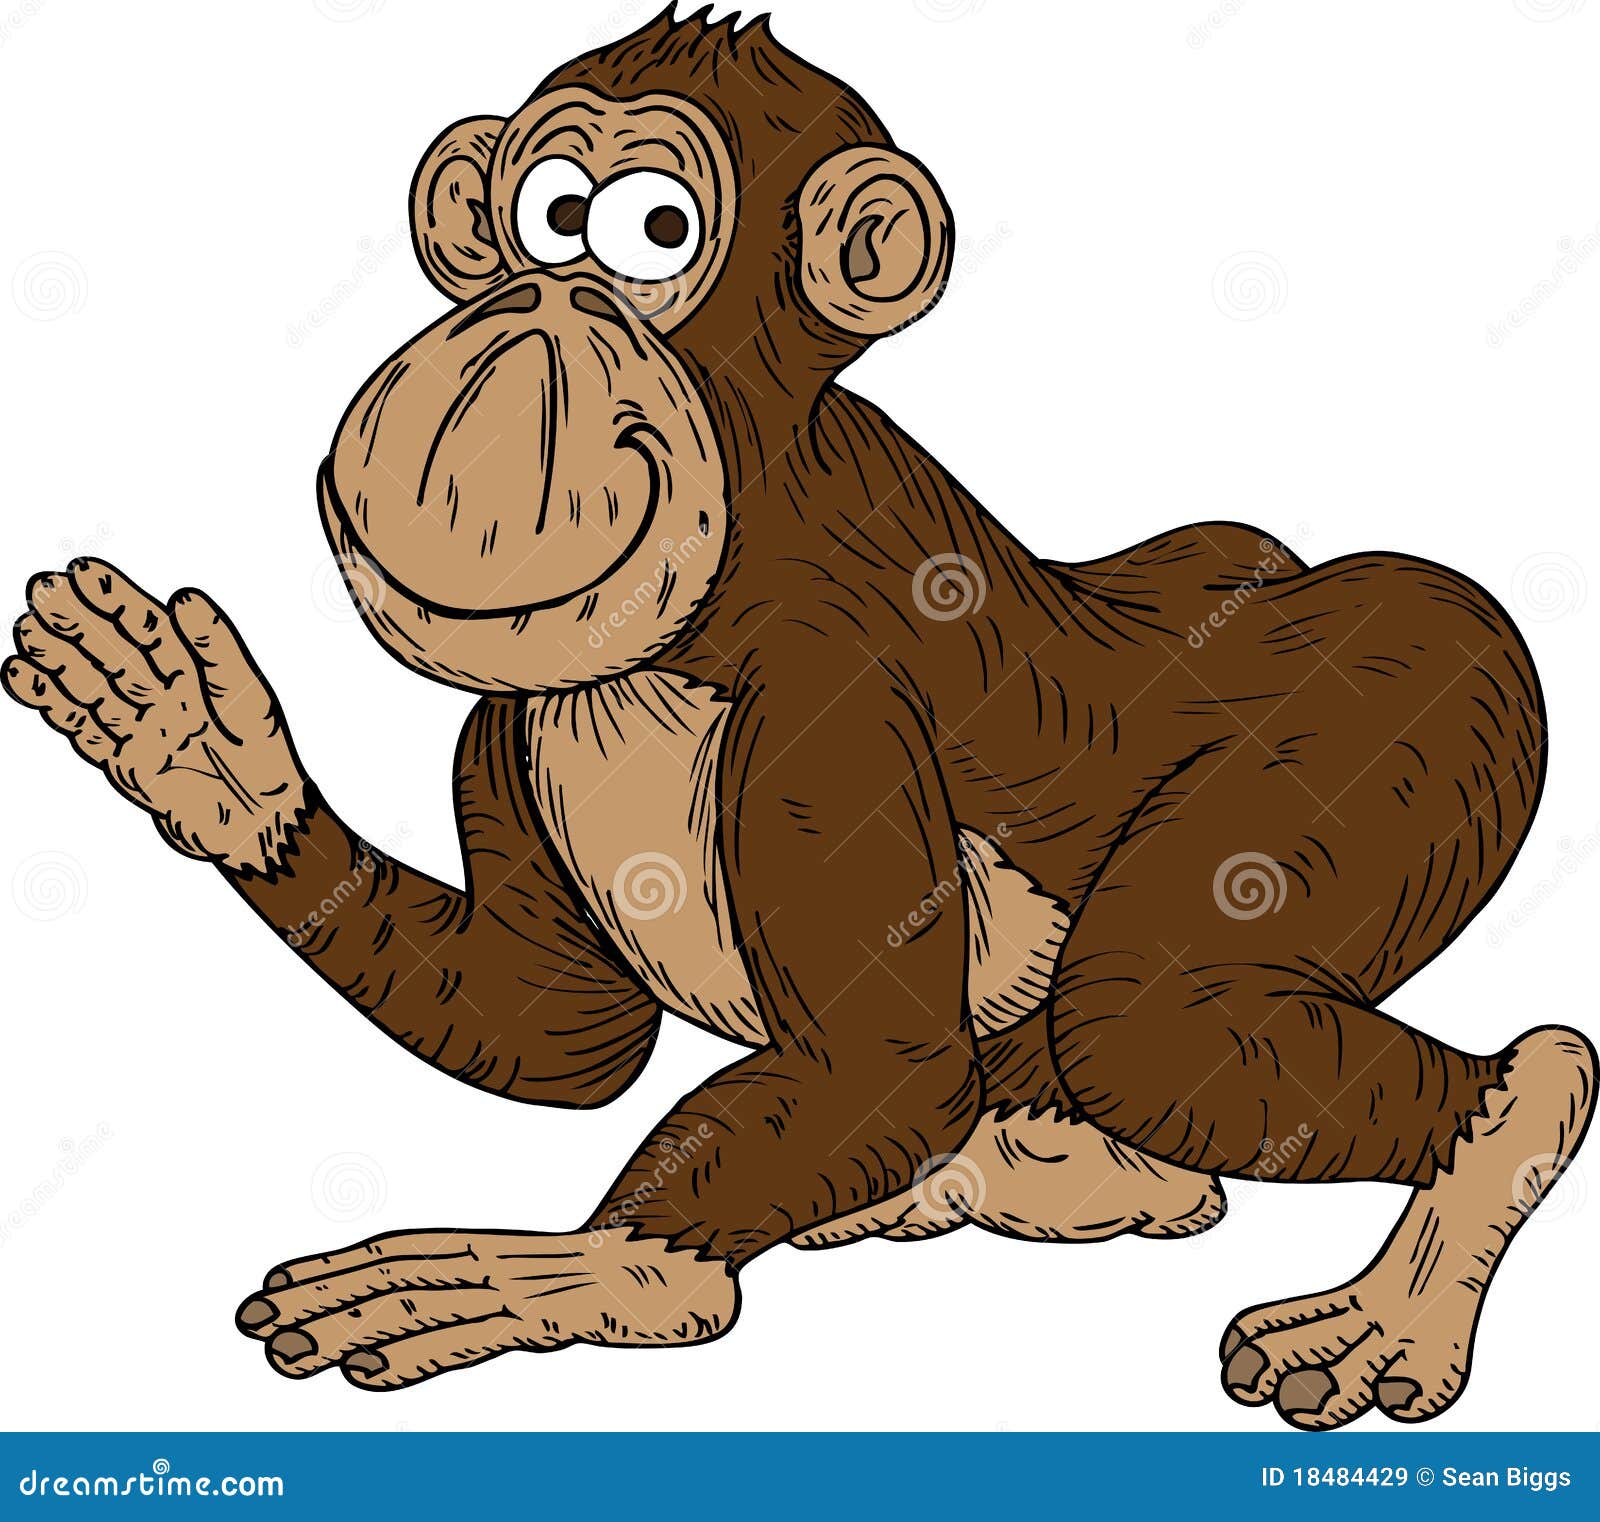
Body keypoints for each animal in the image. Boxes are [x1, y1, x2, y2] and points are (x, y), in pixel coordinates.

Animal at [6, 8, 1593, 1429]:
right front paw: (209, 755)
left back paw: (1462, 1181)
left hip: (1428, 698)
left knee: (1150, 1024)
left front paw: (580, 1271)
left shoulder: (832, 703)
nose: (542, 308)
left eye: (651, 232)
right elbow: (551, 1029)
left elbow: (879, 1070)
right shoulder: (495, 733)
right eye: (547, 214)